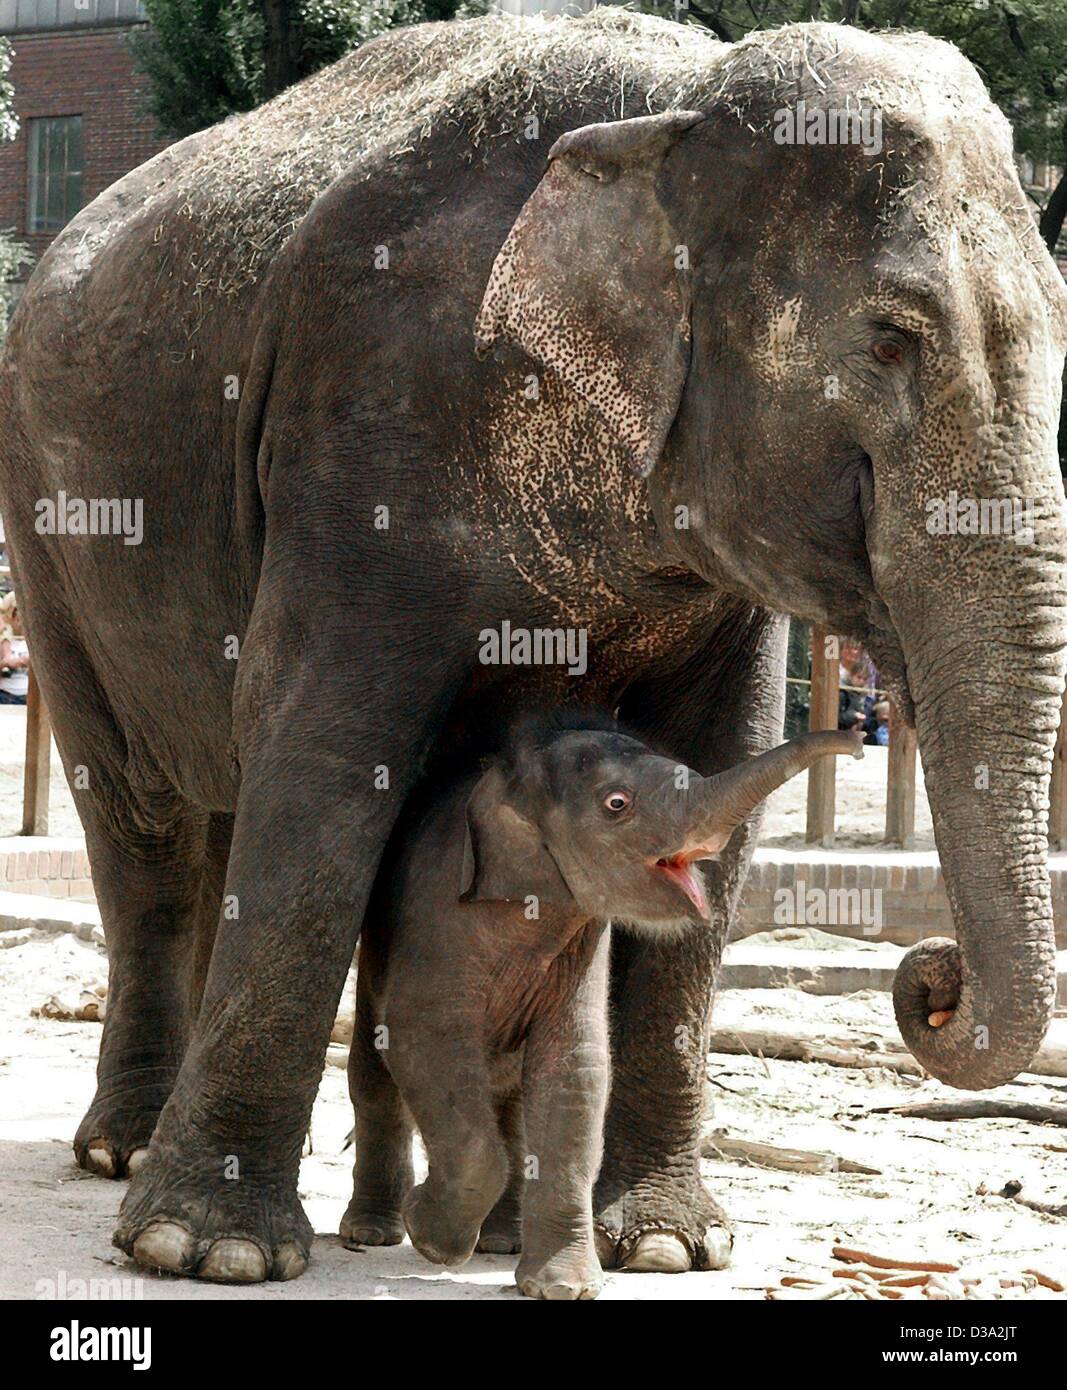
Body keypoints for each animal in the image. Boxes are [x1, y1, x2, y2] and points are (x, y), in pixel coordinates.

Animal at [345, 713, 862, 1299]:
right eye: (617, 803)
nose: (857, 740)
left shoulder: (584, 938)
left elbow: (577, 1070)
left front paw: (563, 1287)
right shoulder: (435, 920)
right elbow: (424, 1039)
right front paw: (432, 1237)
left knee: (510, 1099)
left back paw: (500, 1241)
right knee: (377, 1072)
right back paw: (375, 1231)